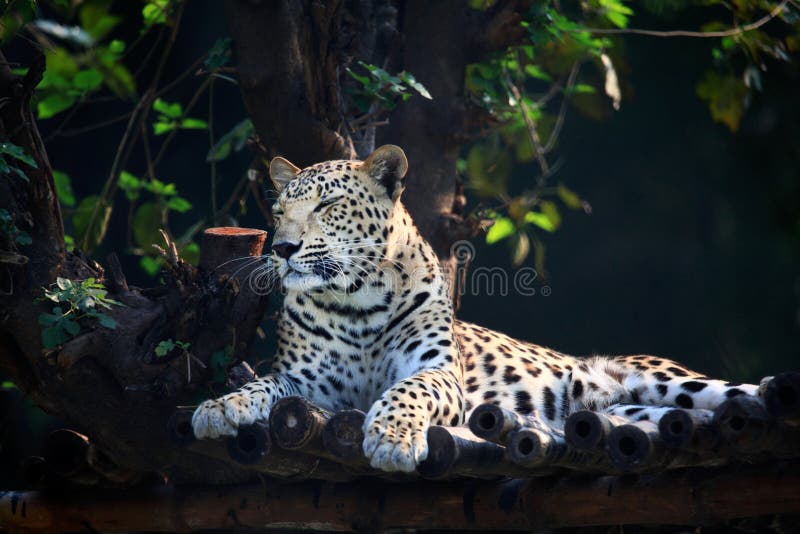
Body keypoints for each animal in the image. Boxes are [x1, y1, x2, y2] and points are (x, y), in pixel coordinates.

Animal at [192, 144, 764, 473]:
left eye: (328, 205)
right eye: (278, 211)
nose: (282, 248)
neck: (357, 301)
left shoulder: (439, 374)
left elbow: (406, 391)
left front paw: (392, 439)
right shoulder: (307, 383)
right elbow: (264, 385)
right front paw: (219, 407)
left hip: (673, 381)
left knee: (738, 392)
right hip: (640, 413)